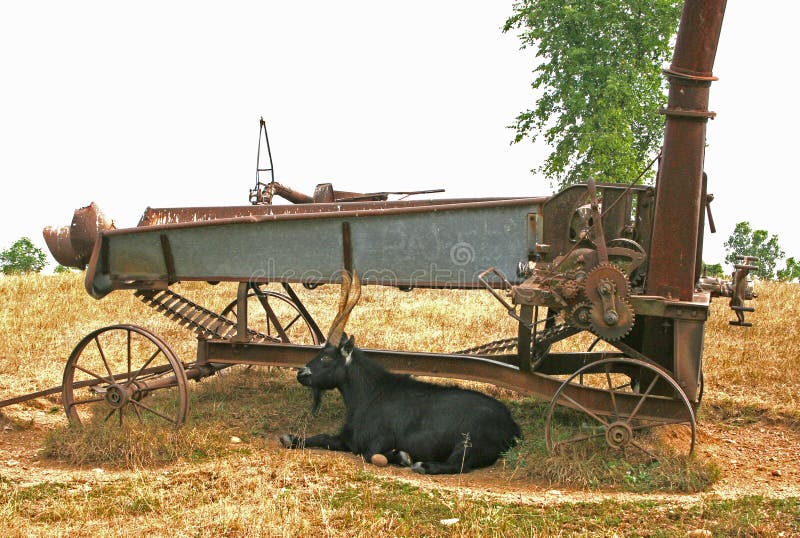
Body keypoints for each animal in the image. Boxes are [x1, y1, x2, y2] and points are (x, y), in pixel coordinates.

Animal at [280, 271, 521, 475]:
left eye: (327, 357)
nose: (301, 373)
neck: (370, 393)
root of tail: (512, 424)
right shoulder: (347, 439)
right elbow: (320, 437)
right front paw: (290, 438)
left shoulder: (381, 439)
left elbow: (372, 455)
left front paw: (402, 456)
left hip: (469, 444)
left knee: (459, 465)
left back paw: (422, 465)